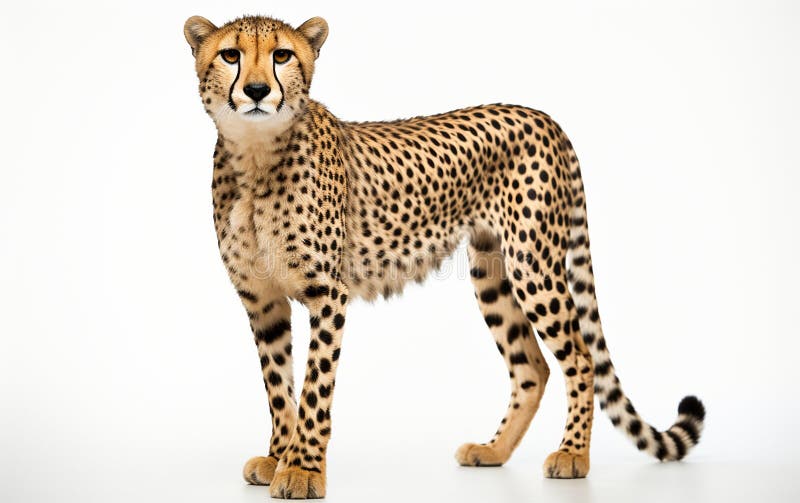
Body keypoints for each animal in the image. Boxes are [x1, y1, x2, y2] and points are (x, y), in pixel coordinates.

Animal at [183, 14, 706, 499]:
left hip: (532, 263)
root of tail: (544, 117)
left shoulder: (327, 295)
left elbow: (314, 388)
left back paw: (573, 454)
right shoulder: (262, 301)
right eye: (230, 55)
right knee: (531, 366)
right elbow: (279, 386)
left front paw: (303, 470)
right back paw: (493, 450)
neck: (255, 156)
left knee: (579, 356)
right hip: (490, 270)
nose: (256, 90)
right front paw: (278, 457)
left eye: (283, 55)